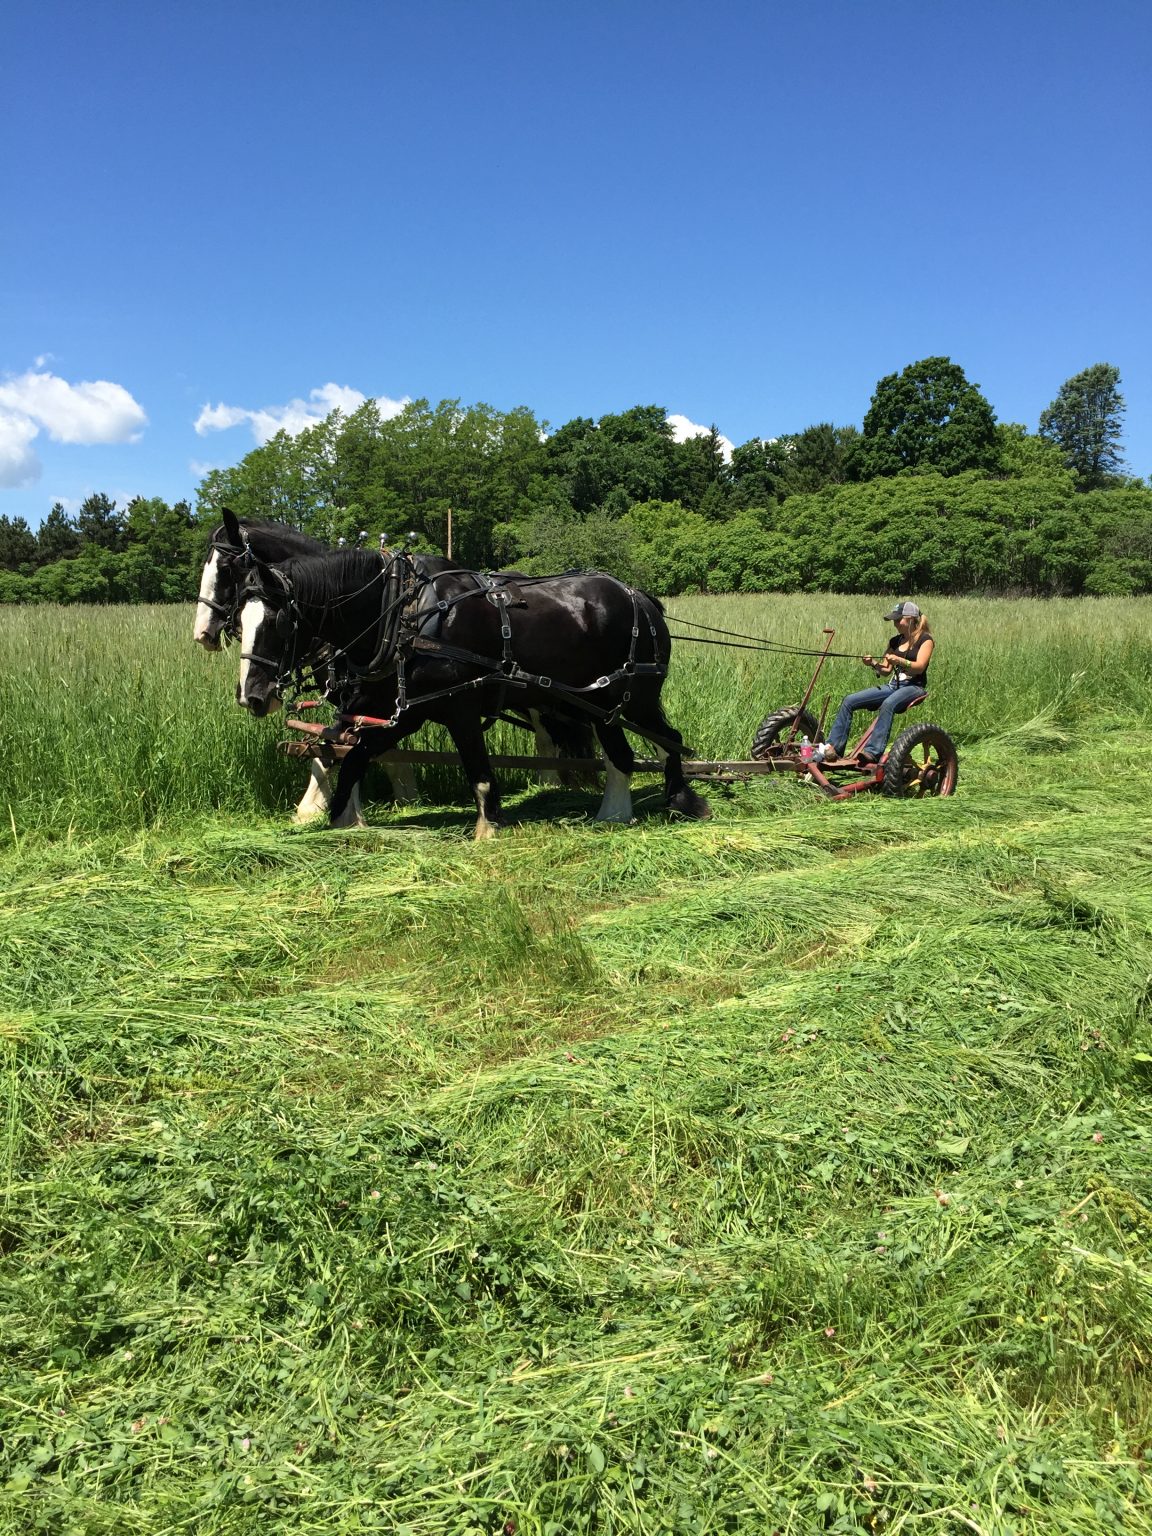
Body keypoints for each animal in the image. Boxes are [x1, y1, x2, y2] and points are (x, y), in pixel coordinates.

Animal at [233, 546, 709, 837]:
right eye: (241, 619)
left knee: (662, 744)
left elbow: (479, 771)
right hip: (596, 703)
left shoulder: (459, 709)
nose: (252, 696)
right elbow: (352, 760)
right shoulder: (406, 713)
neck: (404, 613)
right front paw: (341, 822)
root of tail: (640, 597)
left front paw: (489, 827)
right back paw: (631, 810)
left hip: (630, 697)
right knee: (634, 751)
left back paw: (661, 804)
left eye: (278, 623)